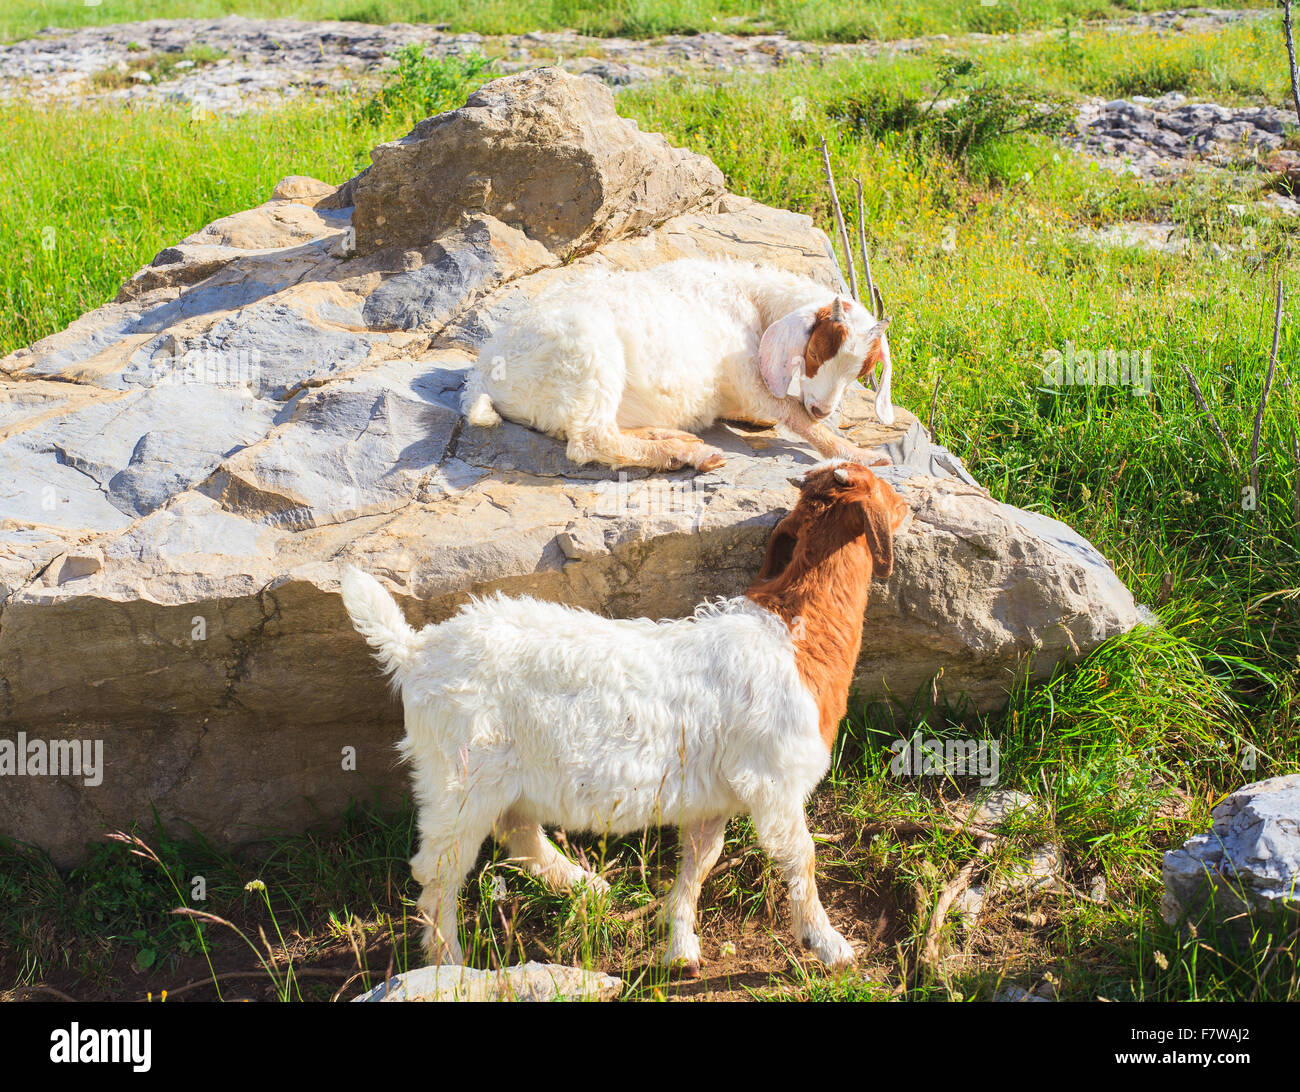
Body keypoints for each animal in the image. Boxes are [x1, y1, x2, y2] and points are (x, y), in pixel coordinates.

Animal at [340, 459, 909, 974]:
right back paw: (450, 965)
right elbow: (799, 856)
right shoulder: (773, 778)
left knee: (516, 831)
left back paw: (584, 884)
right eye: (879, 485)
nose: (907, 505)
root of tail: (414, 651)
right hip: (458, 779)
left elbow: (700, 860)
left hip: (499, 778)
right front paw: (829, 945)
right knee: (439, 870)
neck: (796, 635)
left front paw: (681, 947)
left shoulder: (715, 793)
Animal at [460, 259, 896, 474]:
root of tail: (480, 377)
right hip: (587, 353)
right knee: (589, 440)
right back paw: (687, 454)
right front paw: (861, 455)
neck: (753, 299)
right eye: (816, 353)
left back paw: (675, 437)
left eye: (861, 373)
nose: (823, 408)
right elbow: (791, 413)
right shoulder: (744, 373)